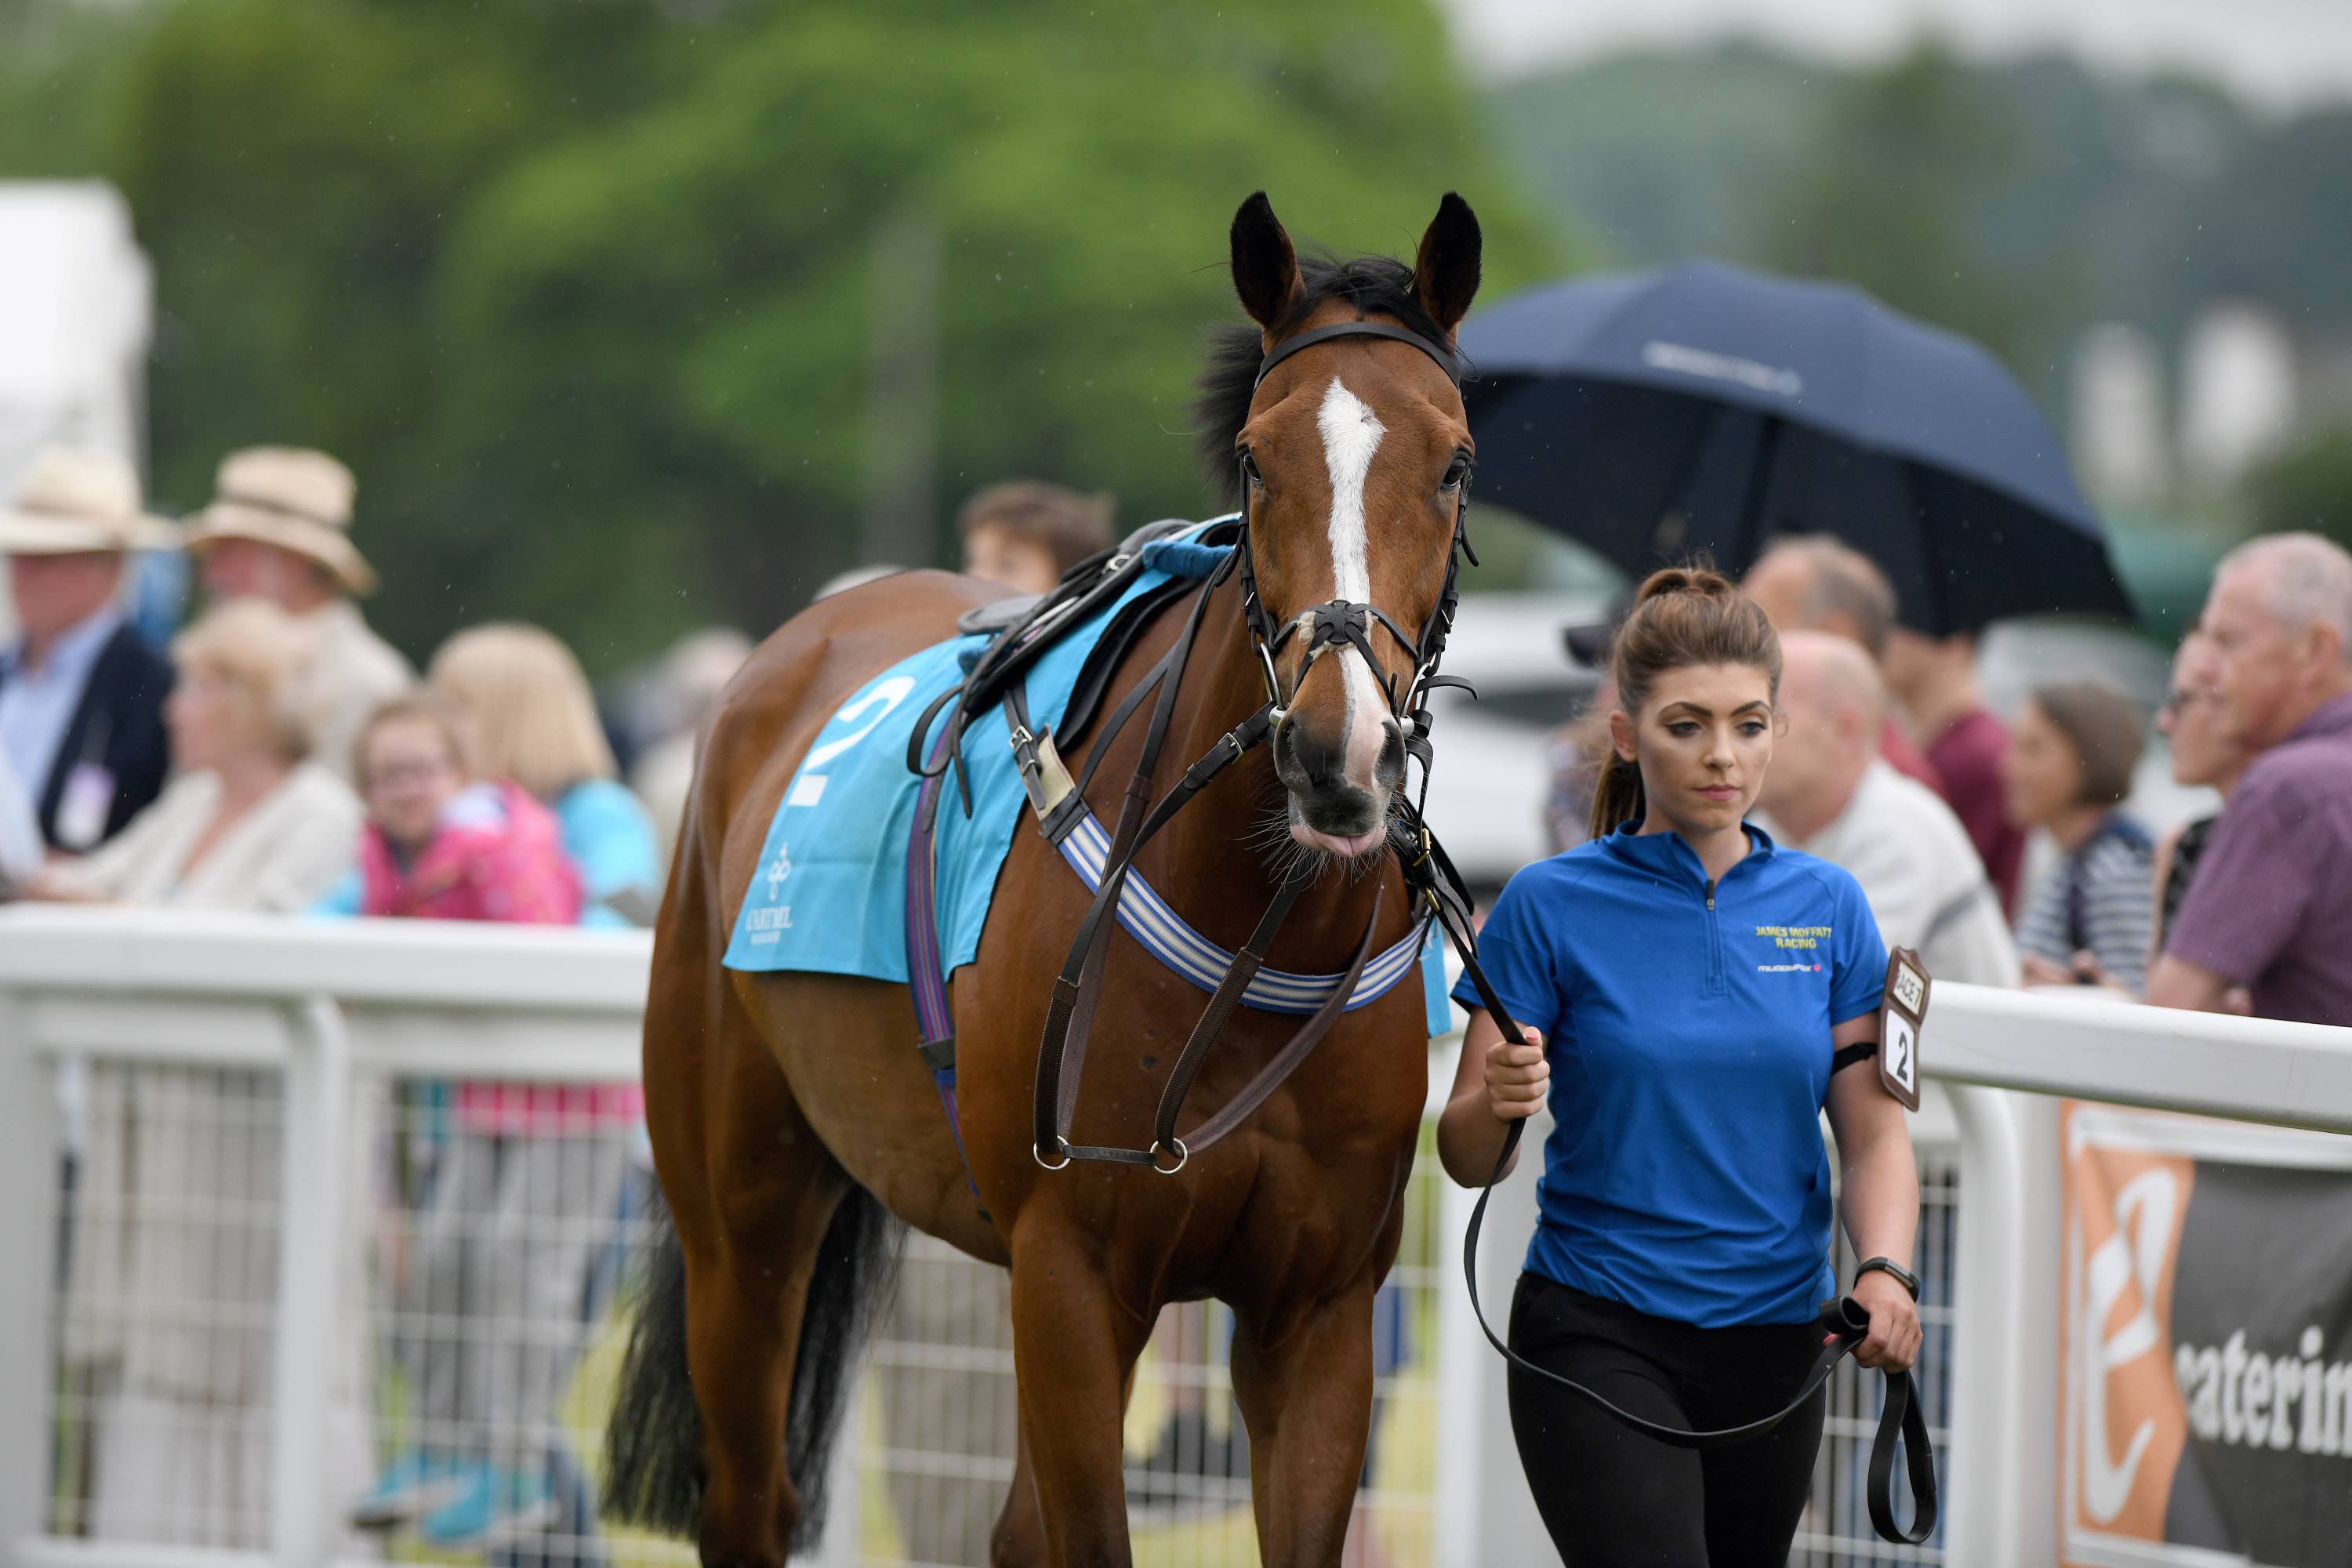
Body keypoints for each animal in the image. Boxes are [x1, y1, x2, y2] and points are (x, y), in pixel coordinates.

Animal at [604, 189, 1486, 1568]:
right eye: (1256, 460)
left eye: (1451, 460)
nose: (1337, 751)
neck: (1253, 940)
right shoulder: (1071, 1278)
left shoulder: (1322, 1306)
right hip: (739, 1213)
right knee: (750, 1496)